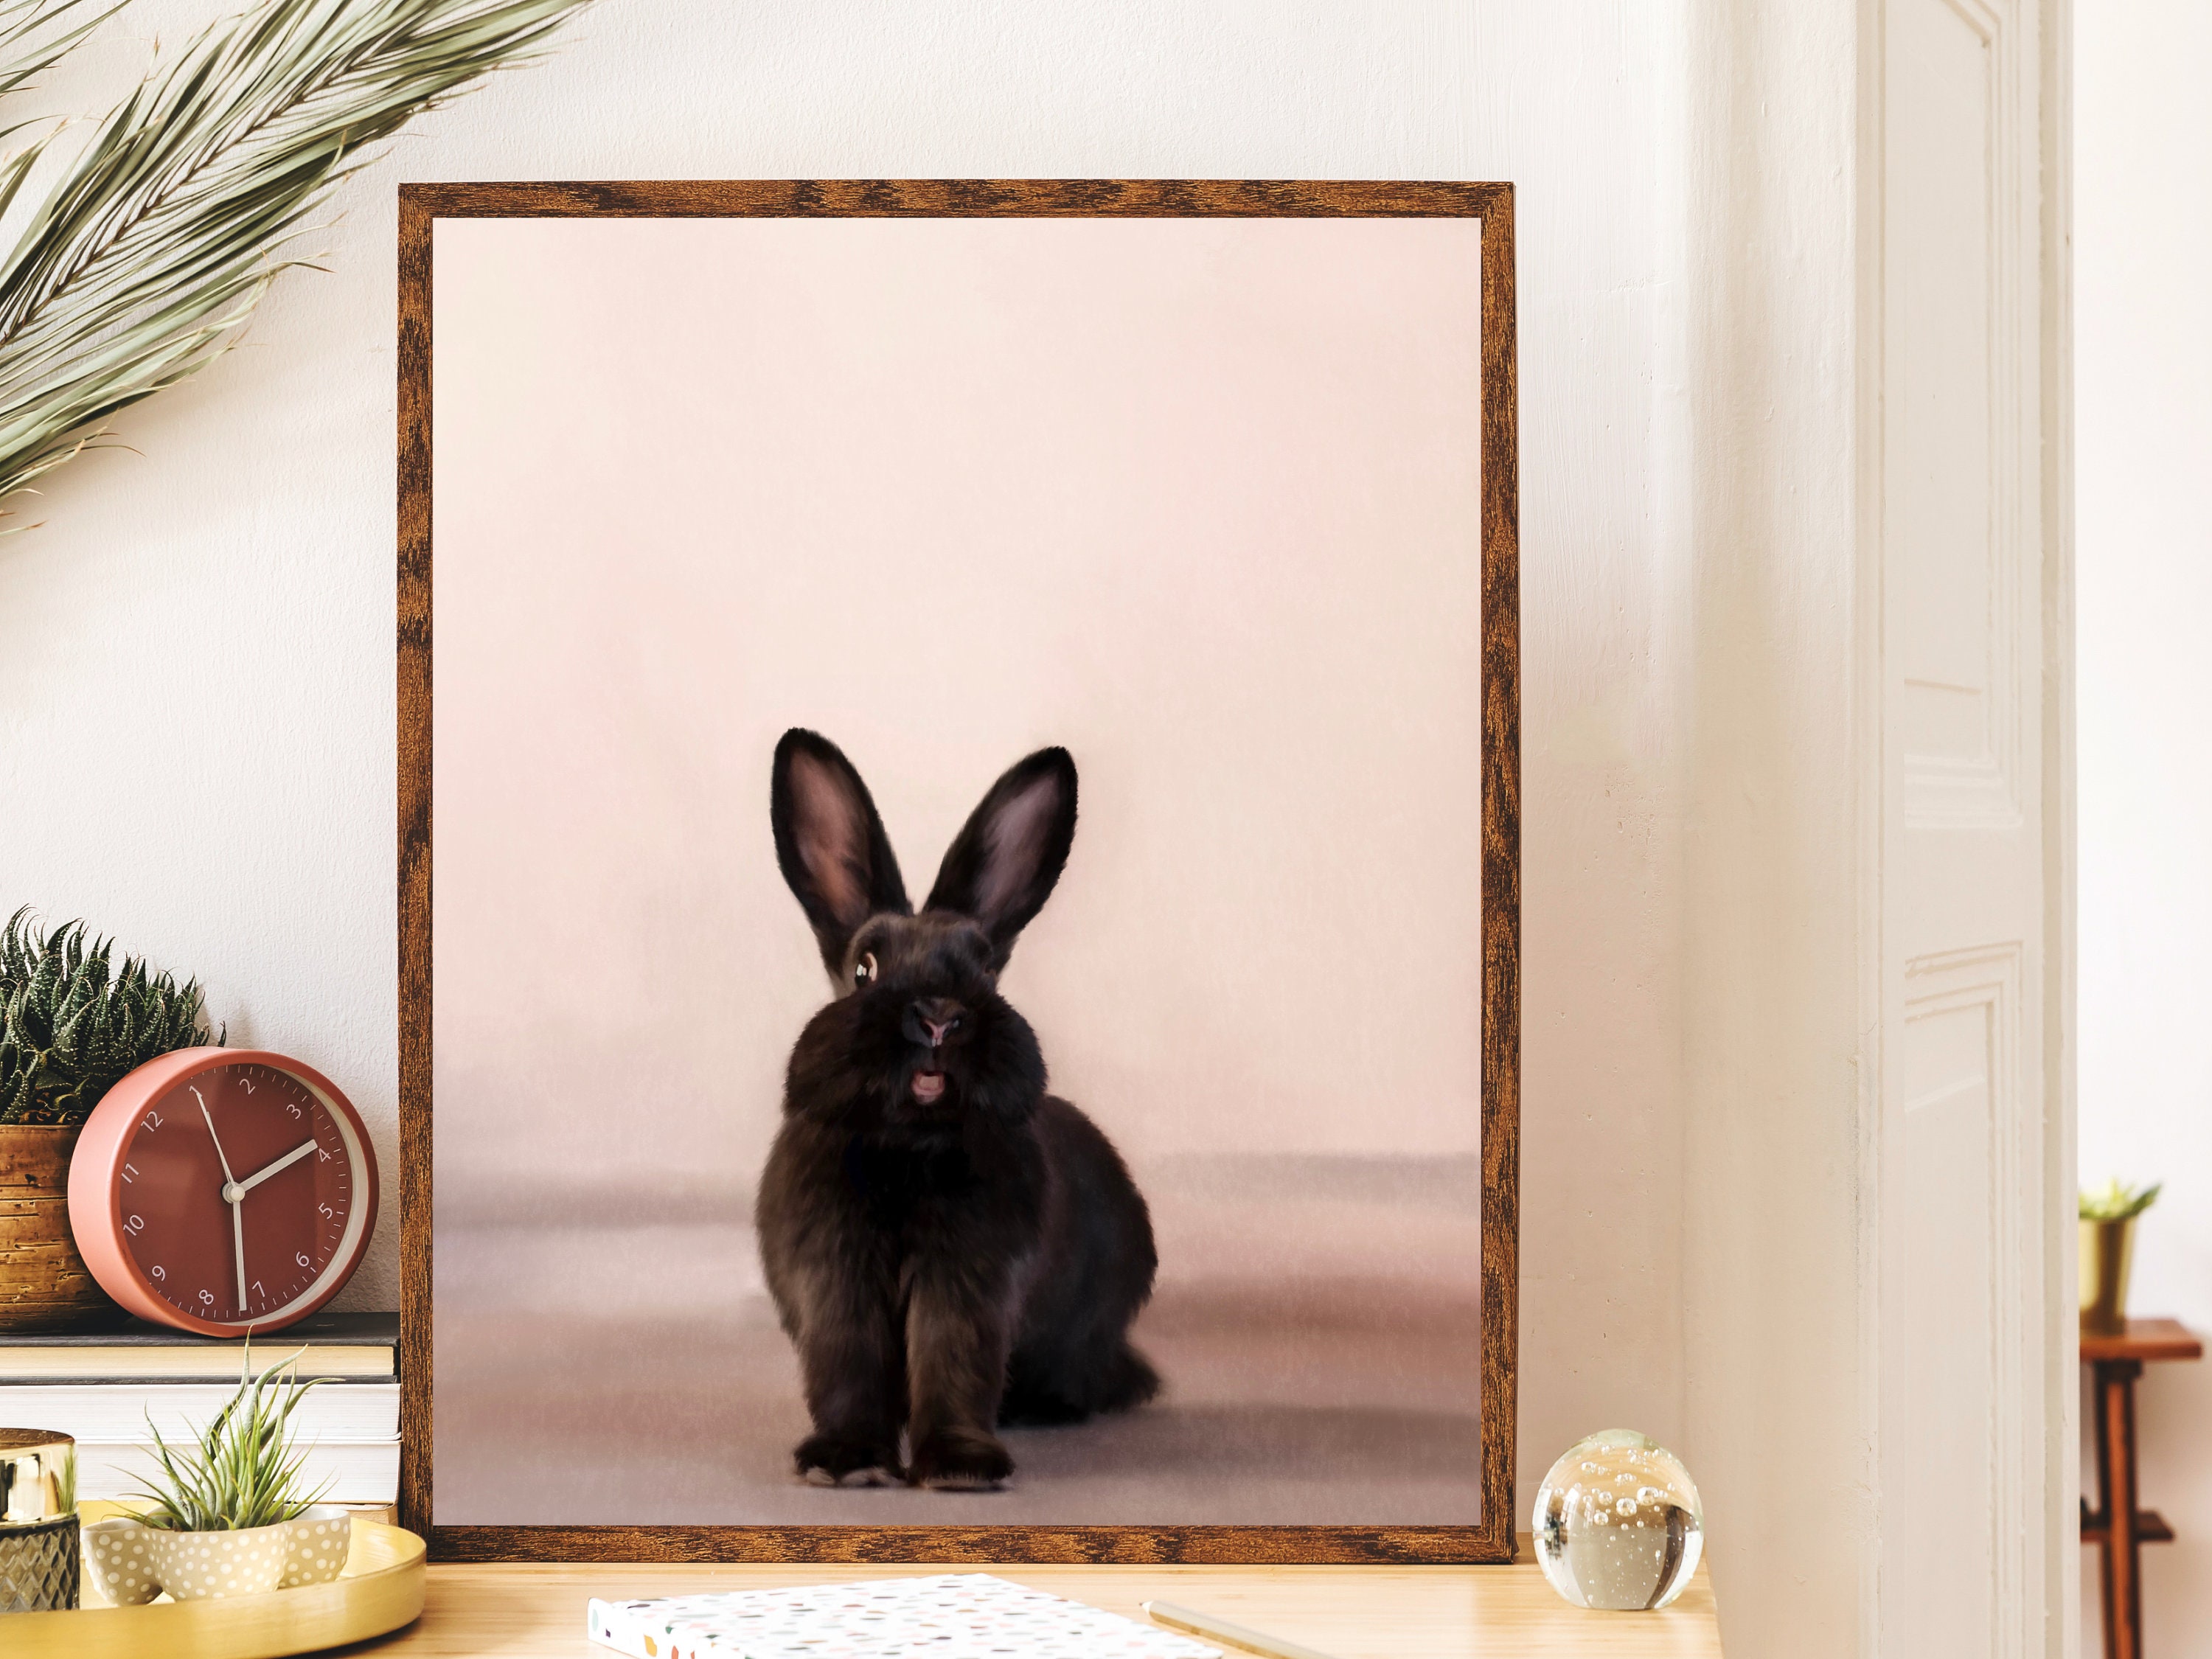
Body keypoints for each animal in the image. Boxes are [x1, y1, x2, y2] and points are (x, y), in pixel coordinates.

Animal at [755, 728, 1160, 1491]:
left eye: (984, 970)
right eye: (865, 969)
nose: (939, 1017)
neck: (907, 1148)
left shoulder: (971, 1276)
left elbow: (953, 1358)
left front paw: (958, 1466)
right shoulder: (834, 1274)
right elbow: (847, 1361)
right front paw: (848, 1459)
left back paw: (1045, 1406)